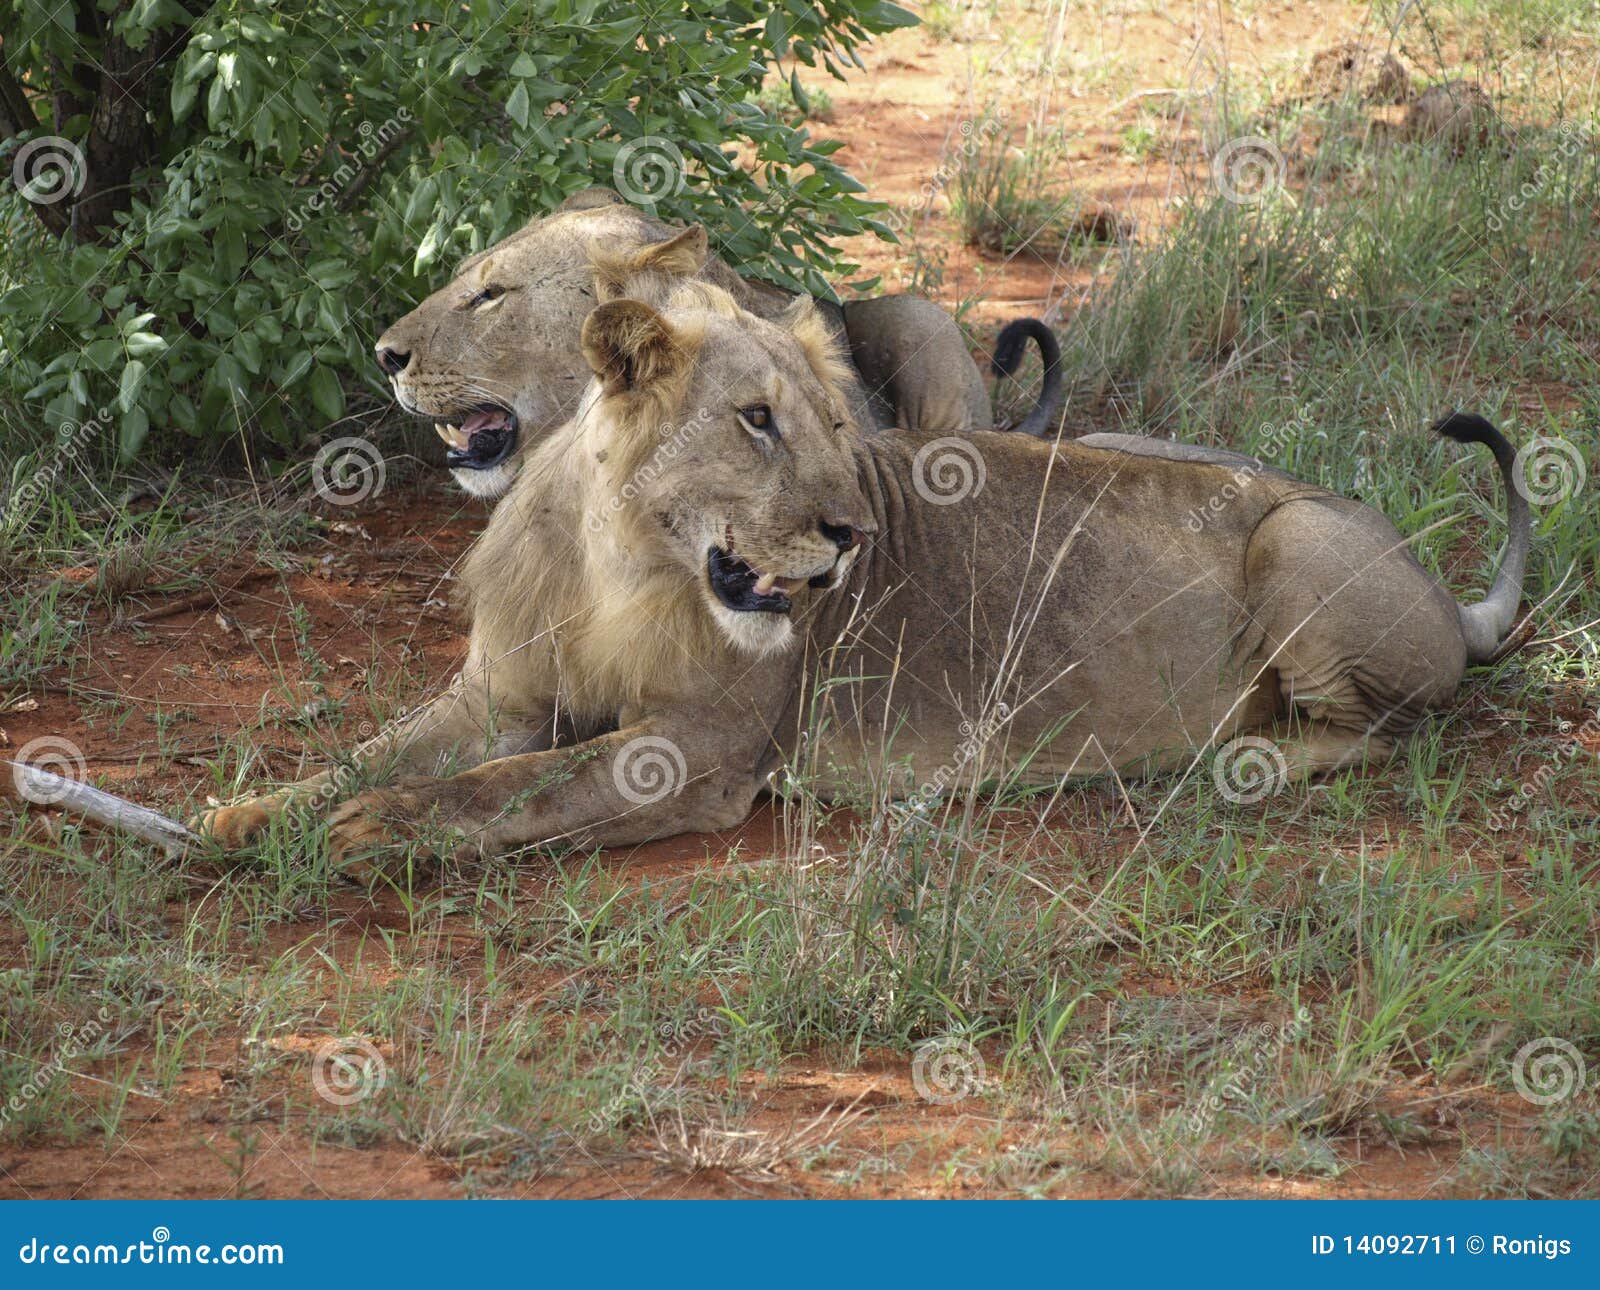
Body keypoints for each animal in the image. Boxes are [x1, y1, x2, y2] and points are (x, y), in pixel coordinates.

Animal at [202, 281, 1527, 866]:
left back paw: (1244, 759)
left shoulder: (691, 757)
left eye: (841, 428)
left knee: (1381, 729)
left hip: (1293, 542)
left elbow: (499, 792)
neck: (622, 562)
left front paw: (369, 831)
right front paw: (249, 815)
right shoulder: (501, 697)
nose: (846, 535)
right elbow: (380, 756)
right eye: (755, 422)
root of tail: (1444, 594)